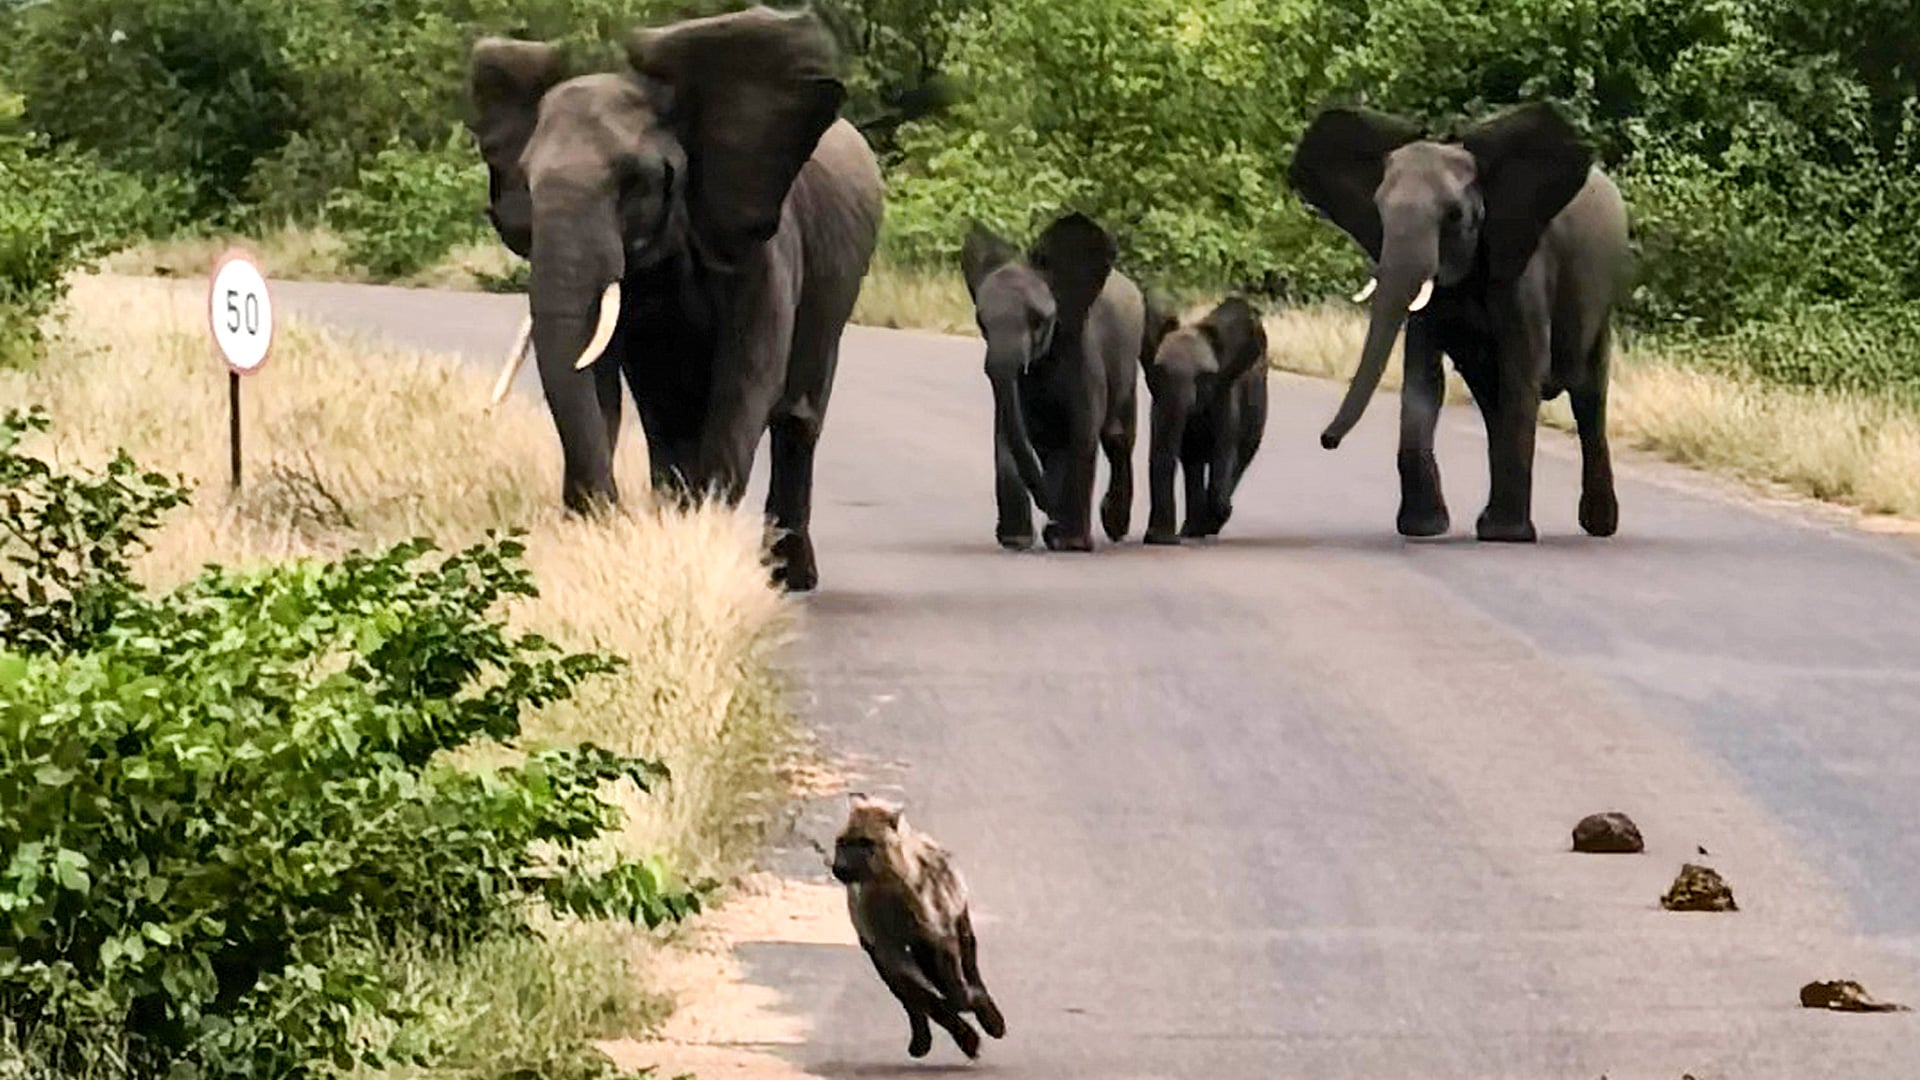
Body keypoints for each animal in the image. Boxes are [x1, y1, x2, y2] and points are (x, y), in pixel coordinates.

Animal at [466, 6, 884, 591]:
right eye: (525, 182)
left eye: (634, 180)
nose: (602, 512)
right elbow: (594, 370)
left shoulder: (762, 246)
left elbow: (748, 378)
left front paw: (698, 540)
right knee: (667, 417)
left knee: (798, 419)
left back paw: (790, 578)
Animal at [960, 213, 1147, 552]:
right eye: (981, 322)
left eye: (1038, 321)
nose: (1051, 518)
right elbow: (1005, 437)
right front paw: (1016, 540)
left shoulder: (1082, 356)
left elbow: (1082, 434)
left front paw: (1070, 544)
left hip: (1128, 365)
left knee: (1117, 439)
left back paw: (1112, 527)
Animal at [1142, 296, 1270, 544]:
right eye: (1158, 371)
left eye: (1205, 377)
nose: (1156, 538)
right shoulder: (1159, 403)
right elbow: (1174, 454)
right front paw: (1163, 538)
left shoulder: (1226, 396)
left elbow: (1224, 452)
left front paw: (1219, 514)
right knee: (1194, 463)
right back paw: (1192, 530)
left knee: (1239, 459)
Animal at [1286, 101, 1631, 542]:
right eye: (1378, 211)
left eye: (1454, 216)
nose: (1326, 440)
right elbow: (1422, 378)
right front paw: (1424, 529)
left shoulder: (1524, 267)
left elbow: (1523, 370)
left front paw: (1506, 536)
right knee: (1491, 398)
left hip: (1601, 300)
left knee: (1587, 397)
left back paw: (1597, 526)